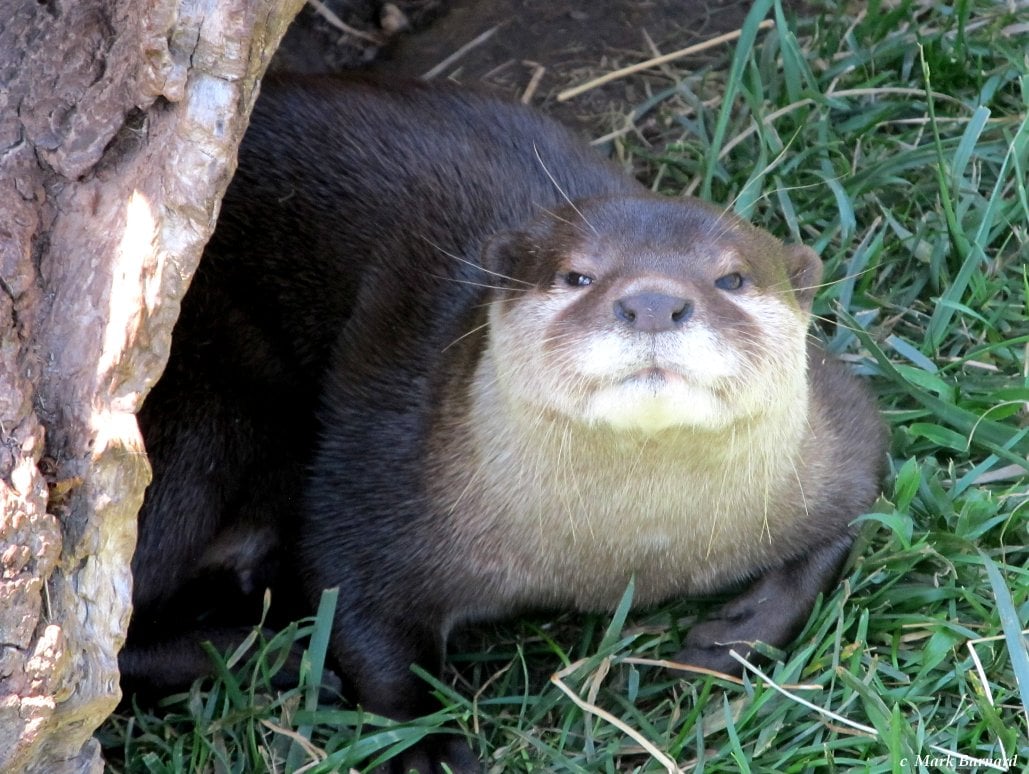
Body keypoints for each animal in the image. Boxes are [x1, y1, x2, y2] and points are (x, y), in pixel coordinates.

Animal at [125, 75, 885, 772]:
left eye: (731, 278)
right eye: (577, 275)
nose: (651, 303)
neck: (621, 555)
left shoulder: (839, 436)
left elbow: (851, 520)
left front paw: (730, 636)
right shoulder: (380, 469)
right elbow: (358, 609)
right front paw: (427, 748)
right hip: (203, 413)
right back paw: (257, 653)